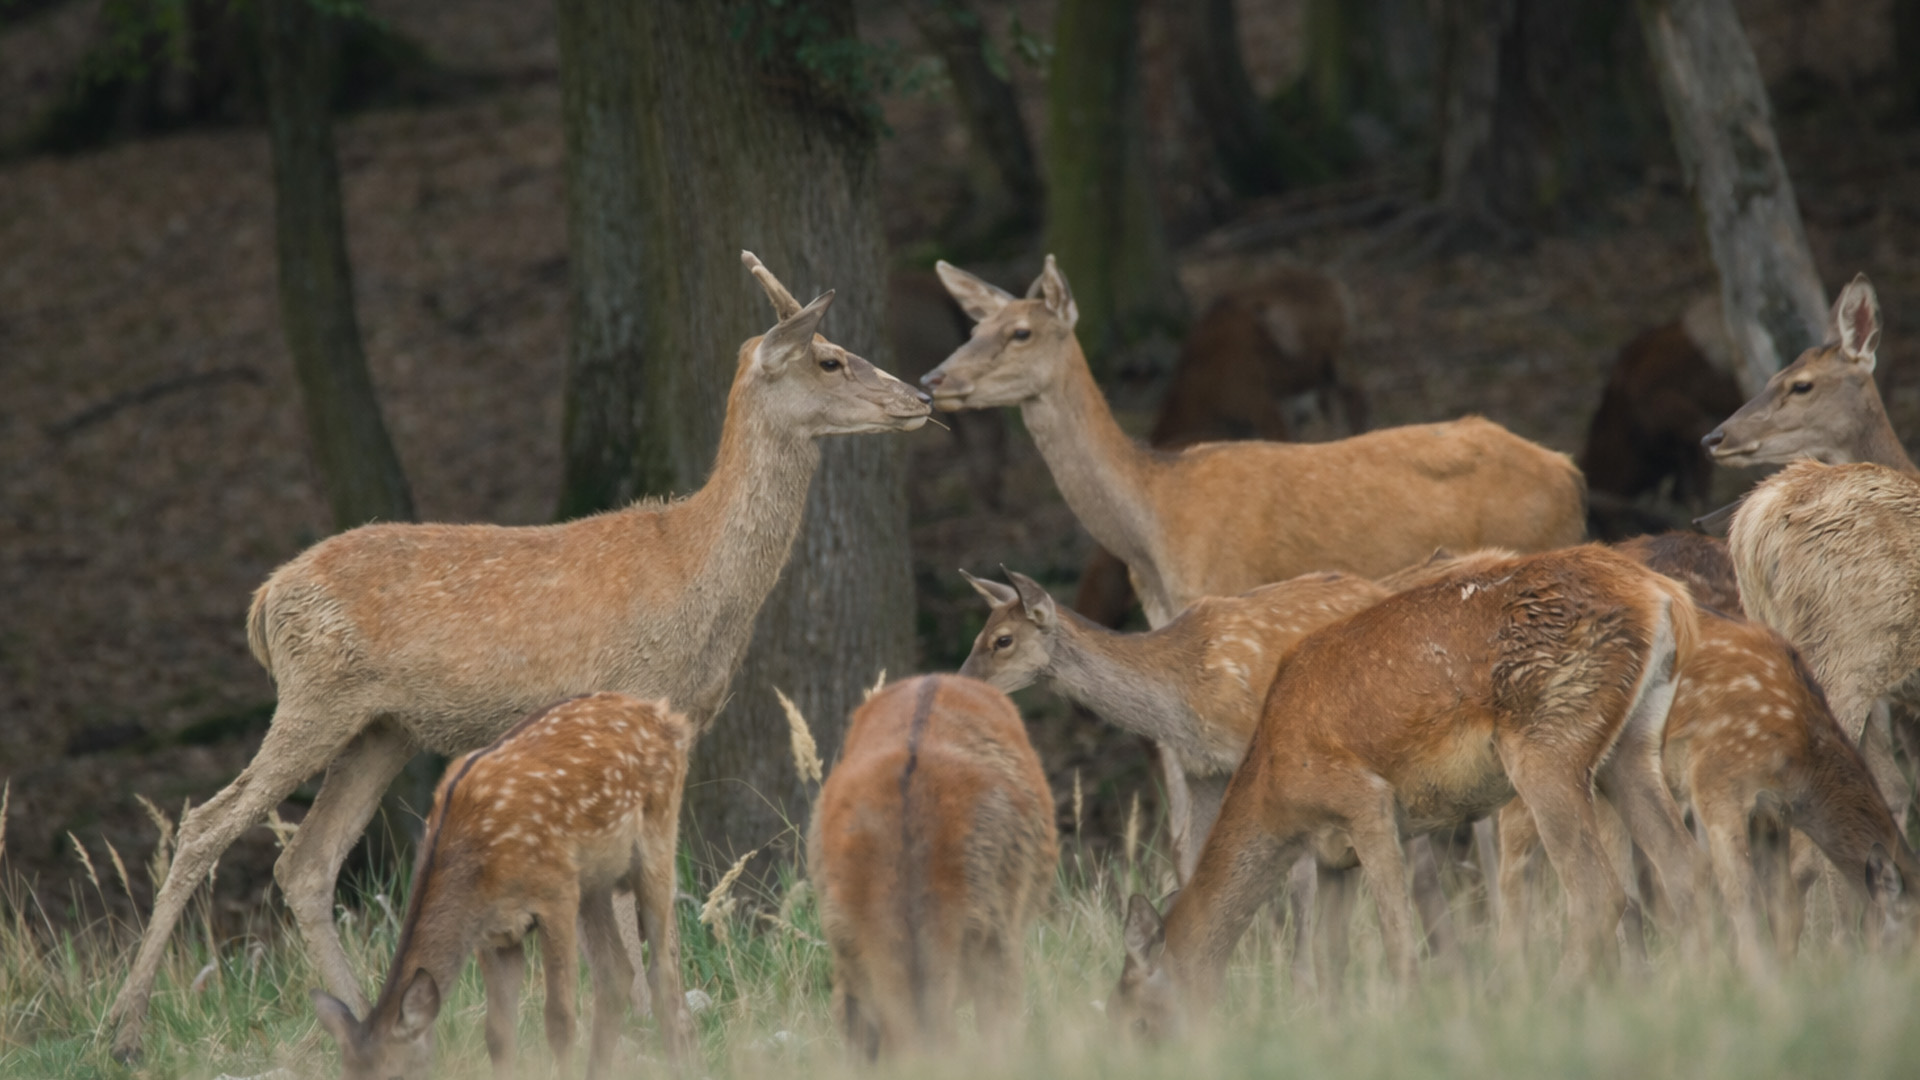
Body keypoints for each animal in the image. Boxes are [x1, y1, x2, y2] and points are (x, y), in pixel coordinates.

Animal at [311, 693, 694, 1080]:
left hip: (657, 840)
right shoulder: (494, 934)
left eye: (396, 1074)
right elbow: (497, 1034)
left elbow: (560, 1021)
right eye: (345, 1075)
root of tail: (667, 715)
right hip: (594, 883)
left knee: (663, 974)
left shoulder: (556, 892)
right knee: (616, 974)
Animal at [1109, 545, 1706, 1037]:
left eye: (1137, 1019)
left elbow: (1397, 937)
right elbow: (1330, 958)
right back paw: (1709, 984)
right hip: (1630, 745)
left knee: (1599, 890)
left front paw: (1409, 1017)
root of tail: (1663, 596)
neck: (1274, 791)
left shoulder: (1364, 799)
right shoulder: (1332, 856)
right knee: (1683, 868)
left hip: (1548, 738)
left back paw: (1542, 1007)